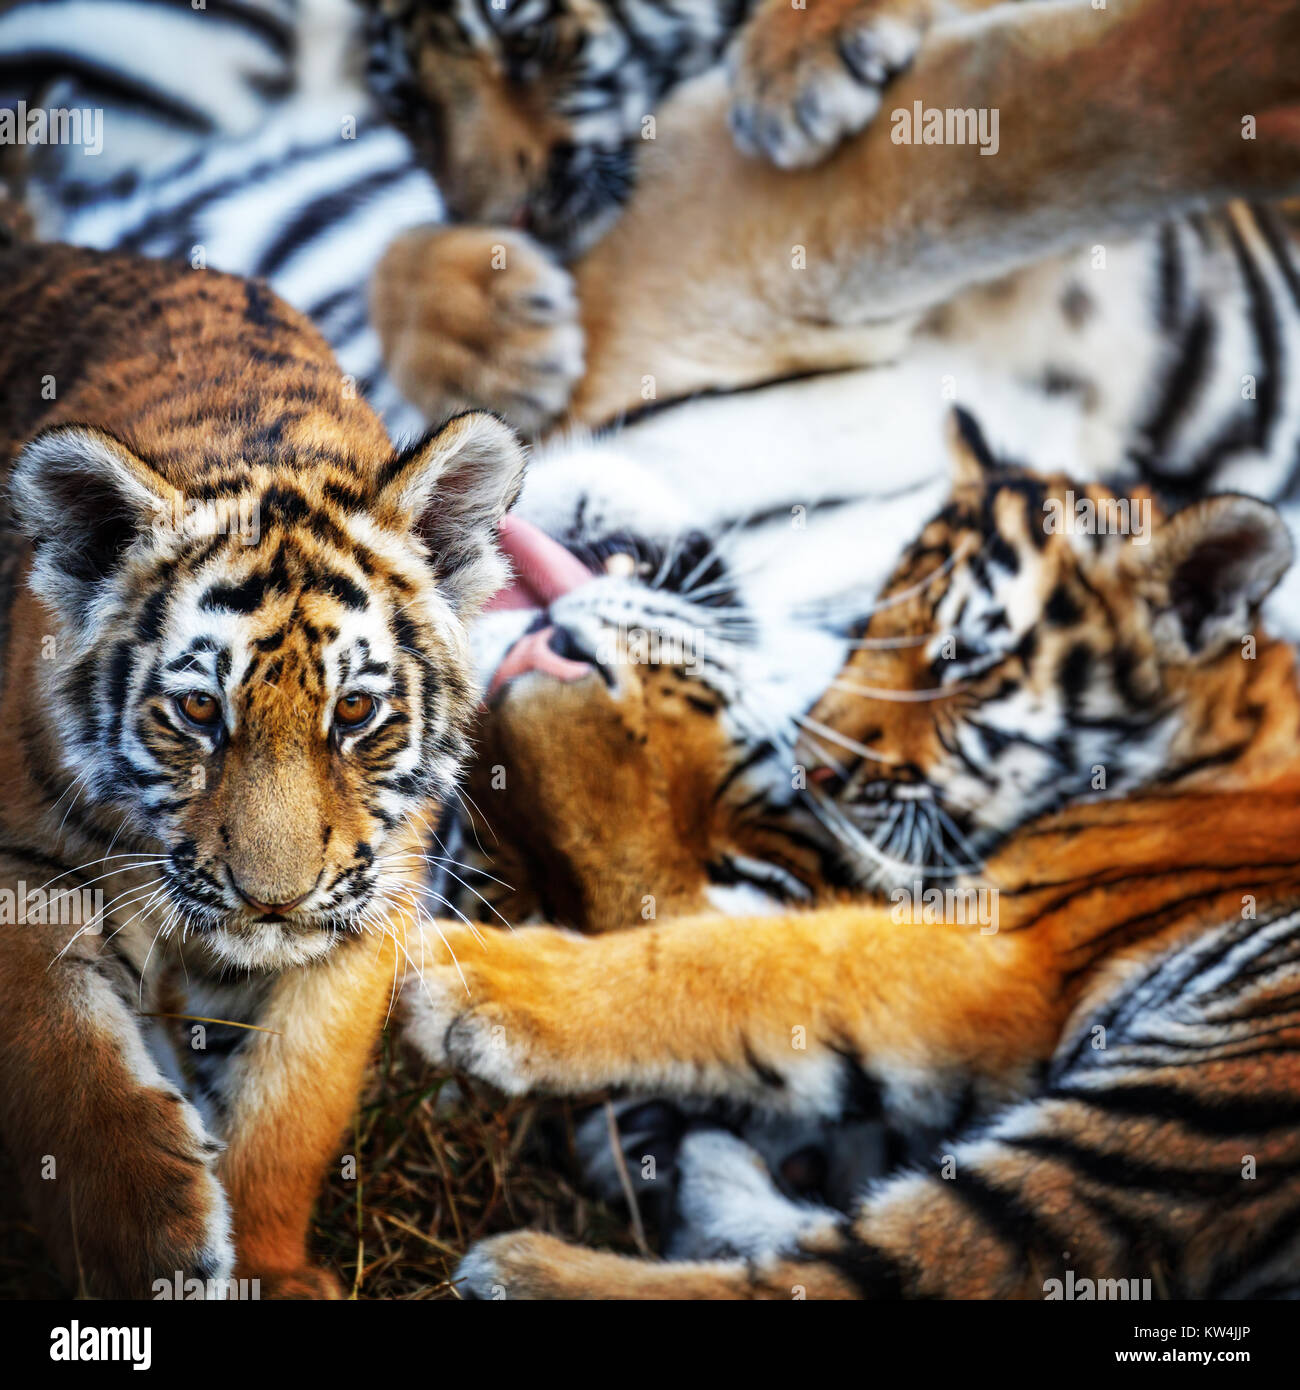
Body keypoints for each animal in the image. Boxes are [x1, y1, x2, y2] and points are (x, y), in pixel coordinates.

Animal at [0, 236, 525, 1298]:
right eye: (201, 709)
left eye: (354, 711)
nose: (272, 900)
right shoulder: (20, 867)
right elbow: (68, 1066)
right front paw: (152, 1246)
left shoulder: (362, 913)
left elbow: (291, 1107)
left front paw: (272, 1271)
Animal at [400, 417, 1300, 1299]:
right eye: (874, 622)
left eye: (960, 659)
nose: (815, 761)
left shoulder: (1004, 948)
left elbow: (732, 963)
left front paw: (477, 978)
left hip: (1175, 1113)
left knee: (871, 1272)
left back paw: (522, 1261)